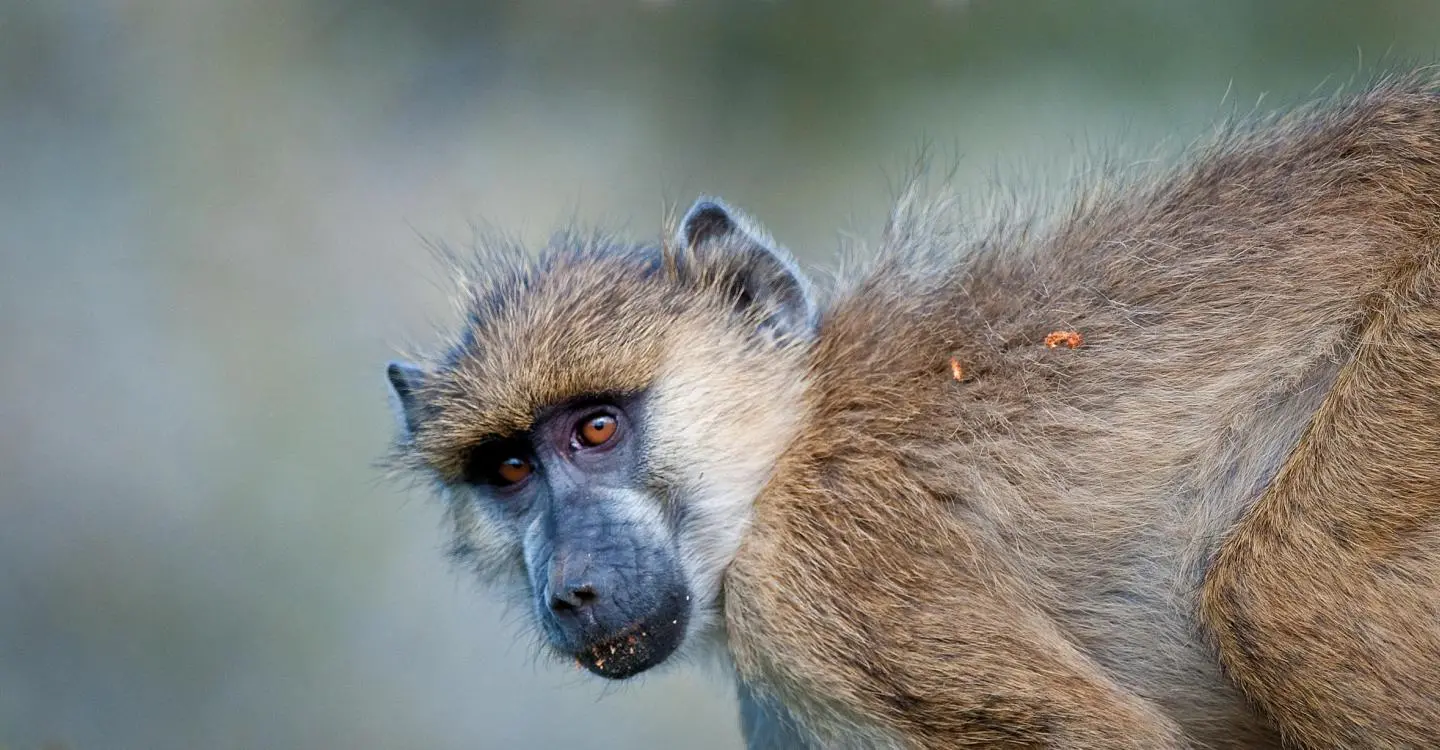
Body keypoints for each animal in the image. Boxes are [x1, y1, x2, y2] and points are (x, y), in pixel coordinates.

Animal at [384, 71, 1440, 749]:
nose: (571, 590)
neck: (787, 454)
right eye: (509, 471)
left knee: (1284, 593)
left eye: (596, 429)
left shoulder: (828, 592)